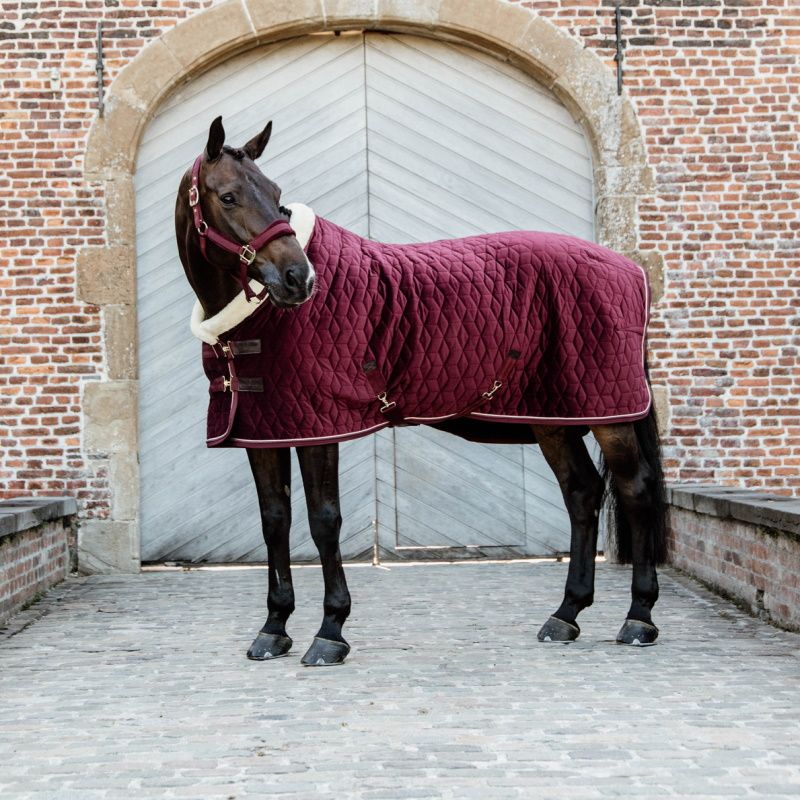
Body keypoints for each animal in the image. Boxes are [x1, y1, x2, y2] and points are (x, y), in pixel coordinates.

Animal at [174, 116, 668, 666]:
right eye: (229, 196)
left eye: (278, 195)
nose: (299, 278)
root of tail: (630, 268)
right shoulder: (266, 430)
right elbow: (274, 521)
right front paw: (273, 628)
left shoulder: (319, 427)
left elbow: (324, 521)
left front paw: (330, 632)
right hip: (554, 418)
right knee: (581, 492)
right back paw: (565, 616)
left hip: (610, 414)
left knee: (636, 490)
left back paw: (639, 618)